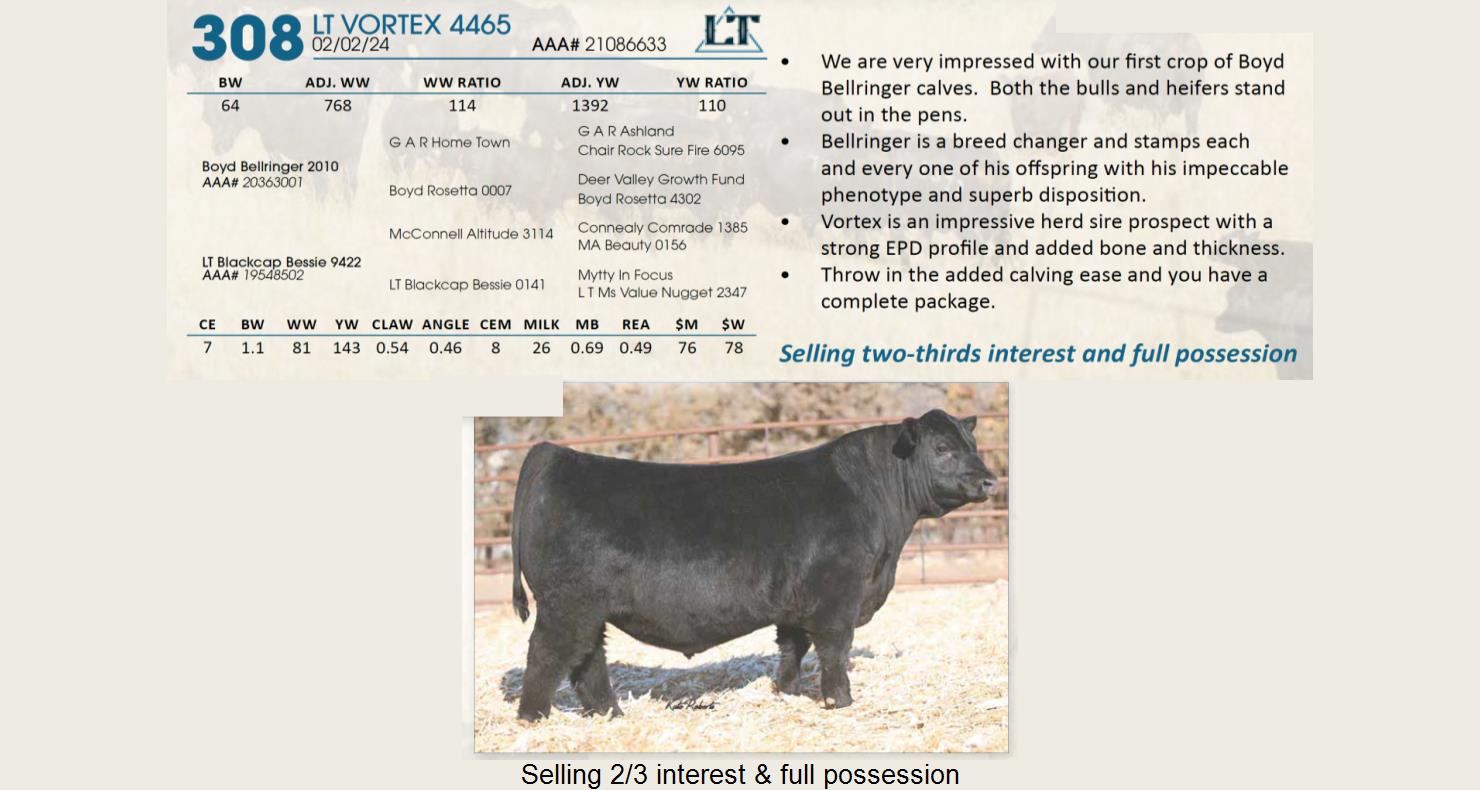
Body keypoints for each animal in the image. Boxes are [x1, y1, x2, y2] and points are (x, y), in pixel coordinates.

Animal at [508, 409, 999, 720]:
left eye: (973, 443)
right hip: (567, 603)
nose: (989, 481)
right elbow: (834, 649)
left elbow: (792, 646)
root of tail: (554, 452)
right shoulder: (838, 595)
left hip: (587, 609)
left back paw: (610, 714)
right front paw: (839, 701)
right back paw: (534, 718)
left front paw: (788, 692)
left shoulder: (800, 601)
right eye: (941, 448)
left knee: (587, 660)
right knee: (548, 654)